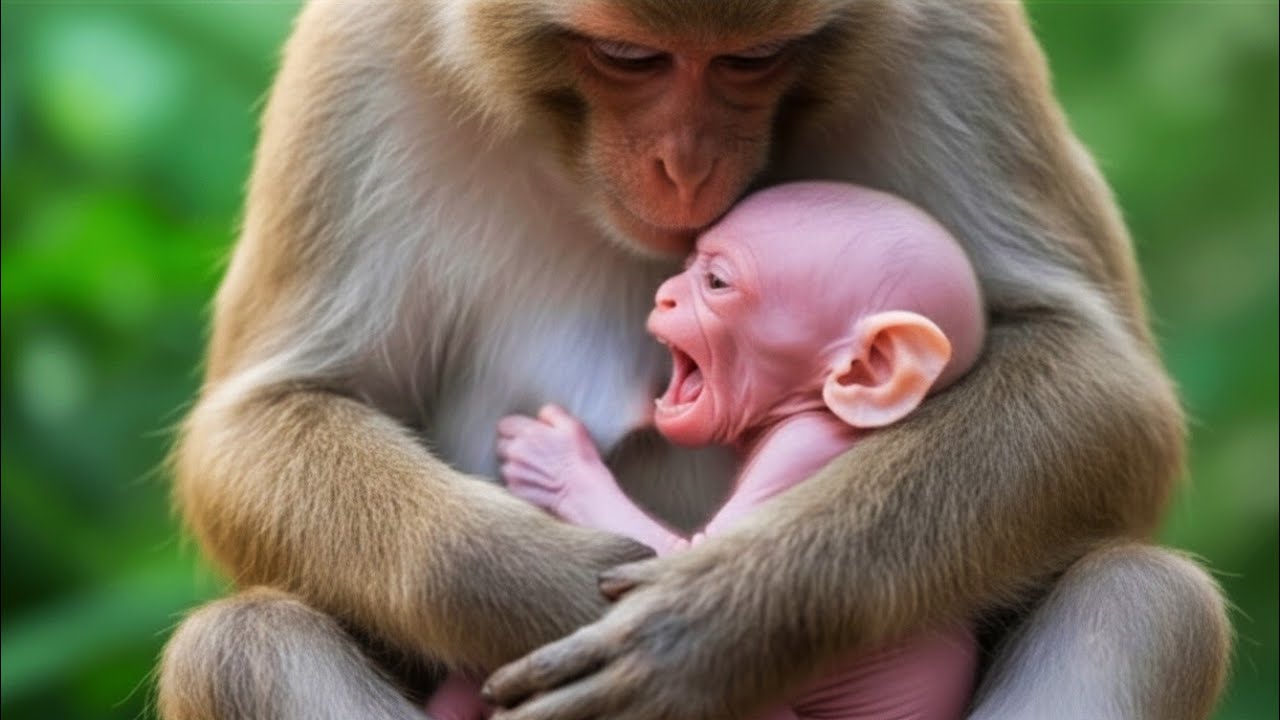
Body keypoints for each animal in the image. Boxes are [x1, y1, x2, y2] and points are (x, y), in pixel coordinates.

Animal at [157, 2, 1231, 720]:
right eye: (628, 56)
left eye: (752, 59)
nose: (686, 165)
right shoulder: (357, 49)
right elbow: (265, 413)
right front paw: (529, 592)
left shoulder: (957, 28)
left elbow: (1100, 381)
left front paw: (717, 628)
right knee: (238, 644)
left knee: (1148, 598)